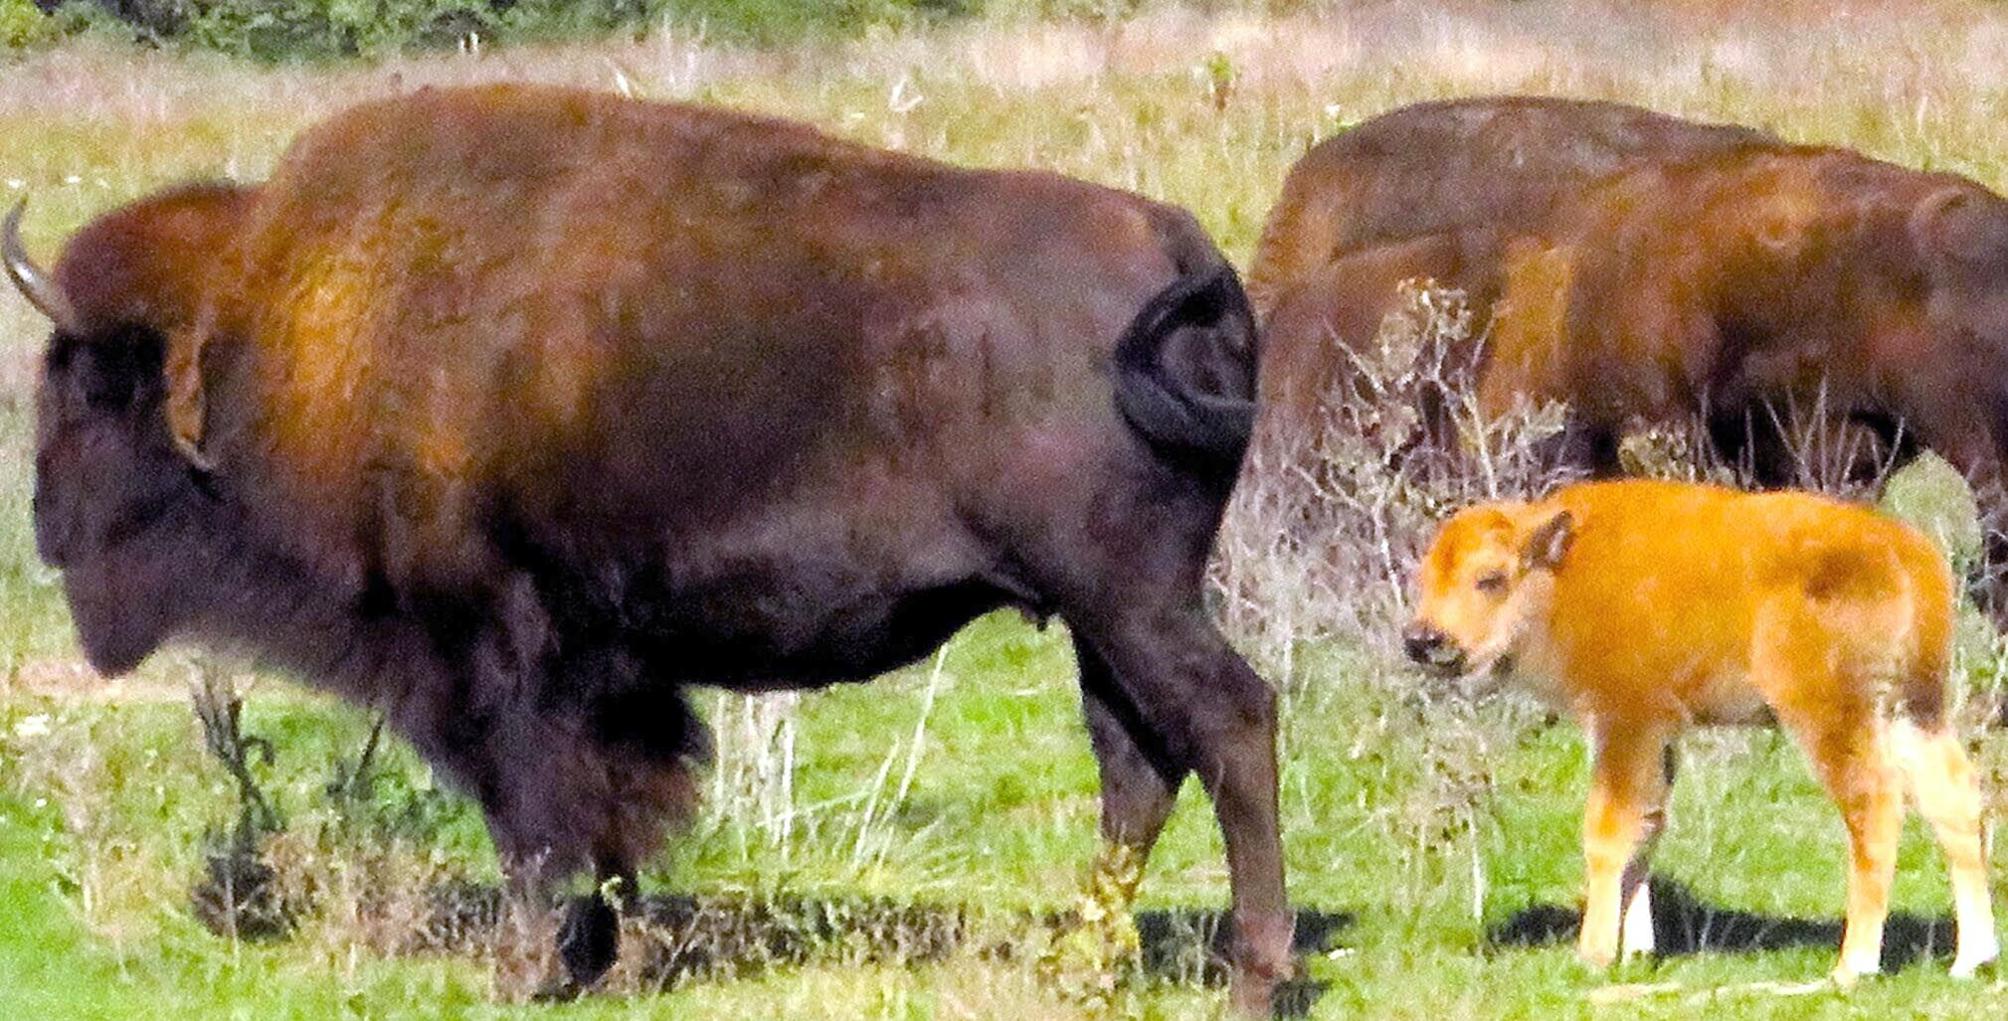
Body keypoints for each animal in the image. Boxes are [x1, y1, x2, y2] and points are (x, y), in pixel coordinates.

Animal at [4, 83, 1291, 1011]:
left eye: (89, 378)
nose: (44, 526)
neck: (276, 322)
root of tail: (1184, 248)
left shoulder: (496, 650)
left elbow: (534, 815)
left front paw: (529, 970)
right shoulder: (604, 664)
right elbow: (614, 811)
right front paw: (607, 958)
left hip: (1128, 598)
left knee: (1227, 723)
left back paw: (1254, 975)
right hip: (1094, 613)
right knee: (1137, 761)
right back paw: (1080, 966)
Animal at [1404, 478, 1999, 982]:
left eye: (1489, 578)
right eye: (1426, 576)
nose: (1422, 639)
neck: (1565, 569)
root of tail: (1906, 553)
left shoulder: (1627, 721)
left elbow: (1608, 830)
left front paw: (1593, 955)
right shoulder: (1657, 737)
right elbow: (1646, 828)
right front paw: (1636, 951)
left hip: (1832, 716)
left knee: (1874, 809)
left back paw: (1853, 966)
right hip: (1913, 710)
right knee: (1953, 801)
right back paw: (1972, 959)